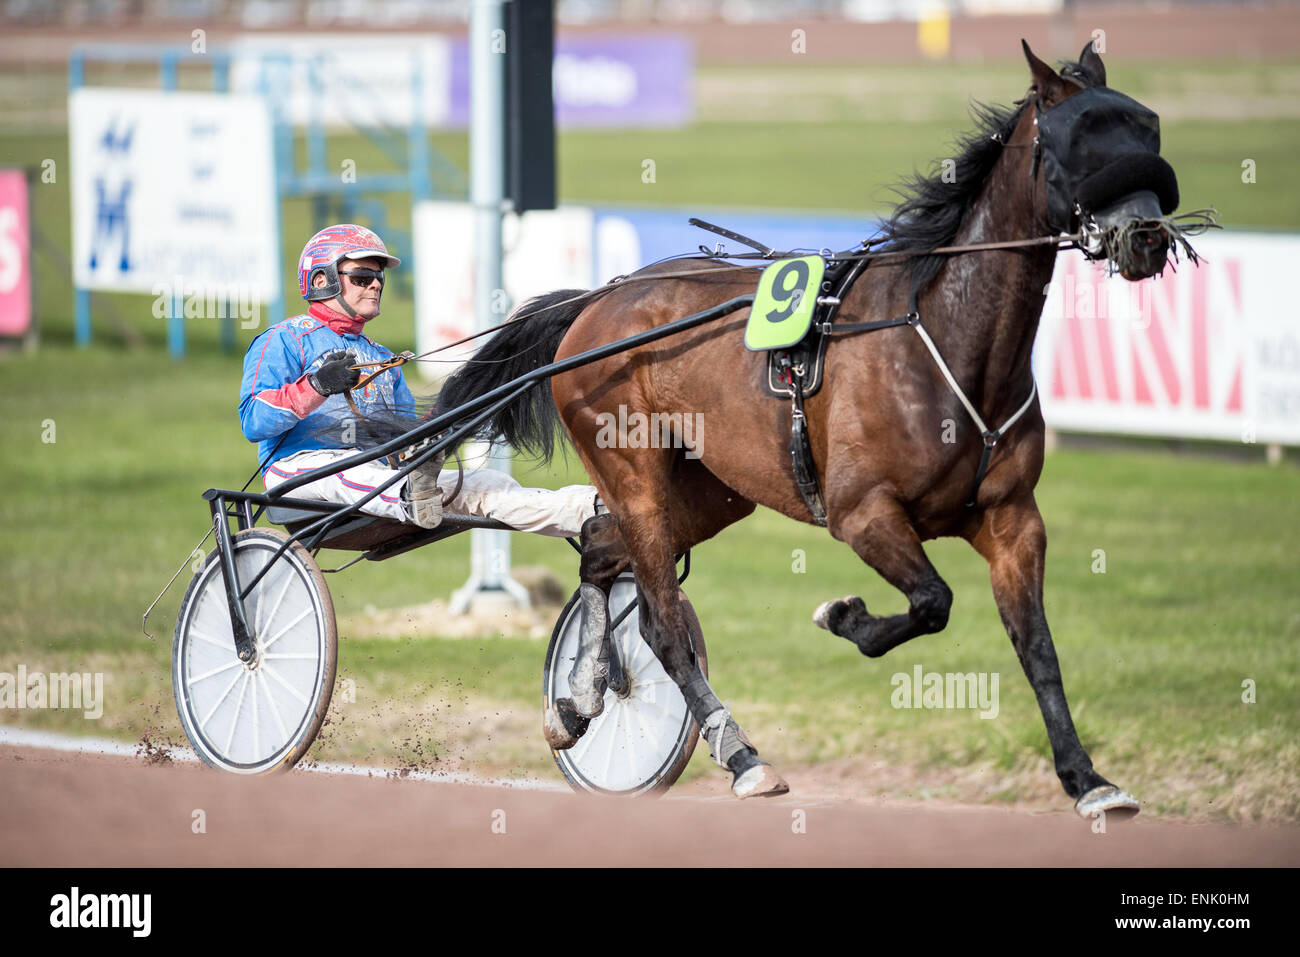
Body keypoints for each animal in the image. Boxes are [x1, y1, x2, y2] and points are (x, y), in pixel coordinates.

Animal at [438, 41, 1207, 816]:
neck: (944, 338)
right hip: (638, 475)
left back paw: (581, 699)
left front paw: (1089, 779)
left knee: (600, 546)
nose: (1146, 237)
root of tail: (599, 301)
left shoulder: (1013, 518)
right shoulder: (862, 512)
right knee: (661, 622)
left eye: (1146, 131)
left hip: (713, 491)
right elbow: (932, 602)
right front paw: (842, 614)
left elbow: (1038, 648)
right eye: (1079, 141)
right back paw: (742, 756)